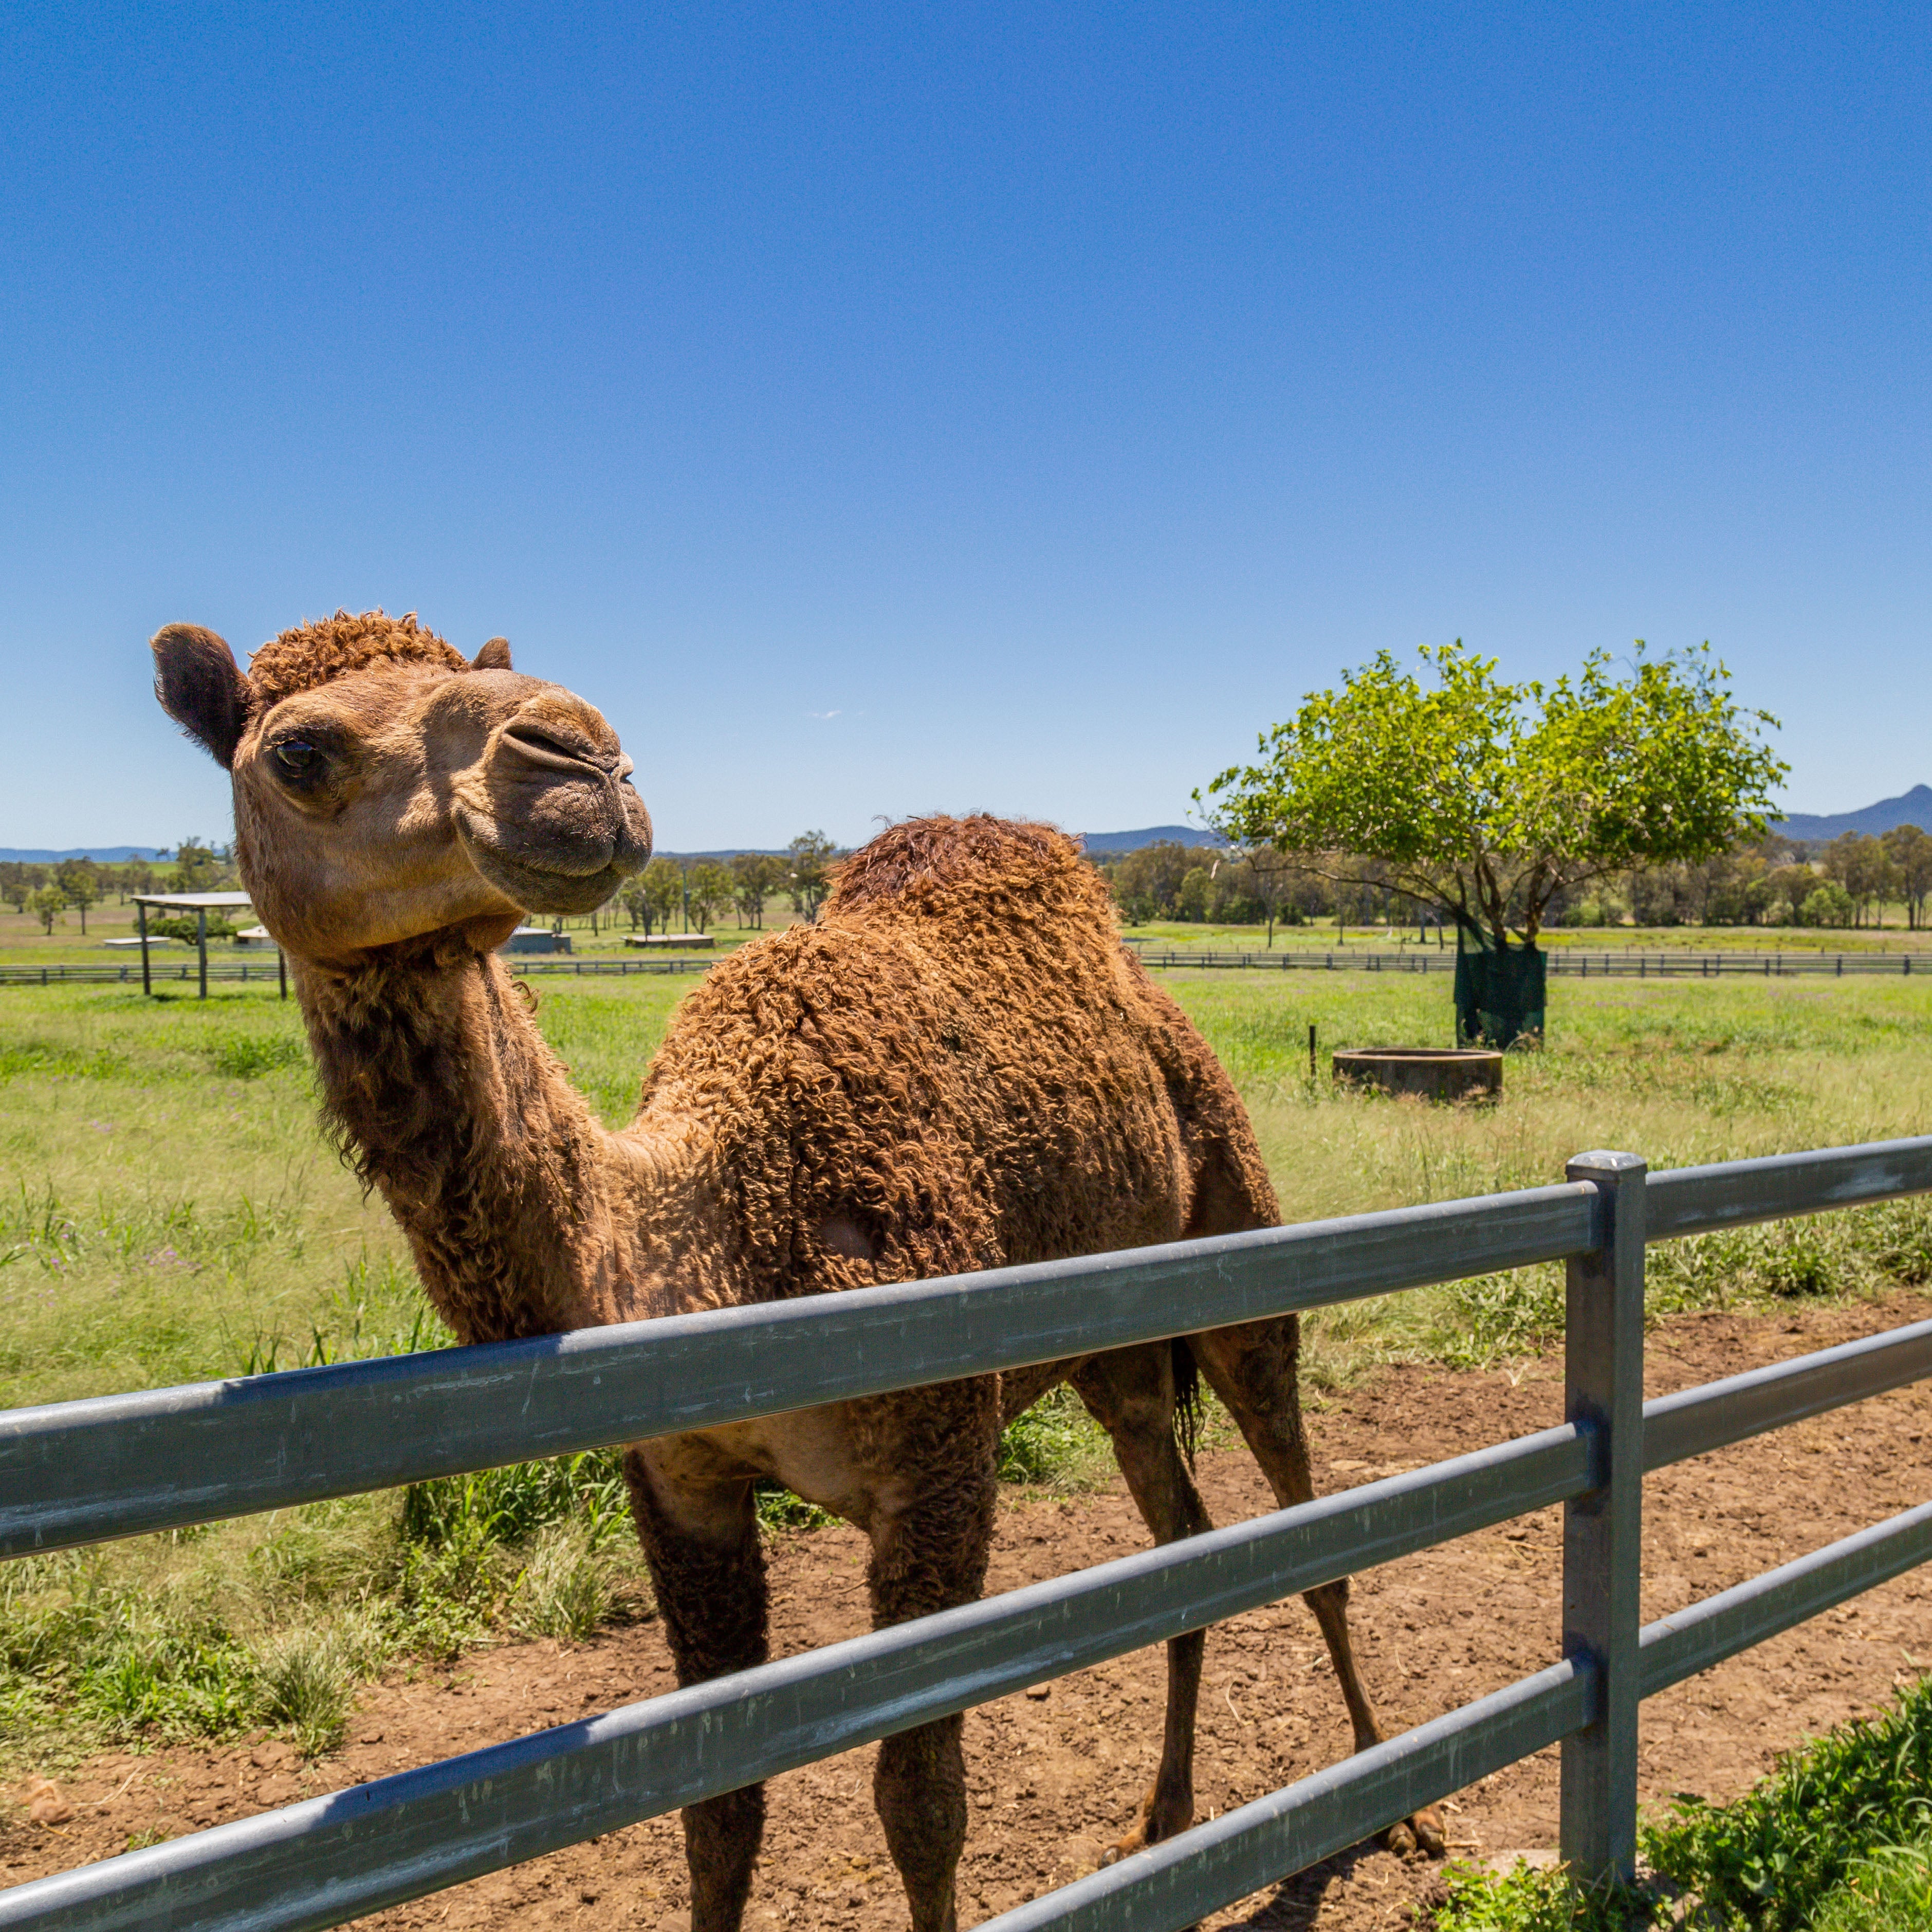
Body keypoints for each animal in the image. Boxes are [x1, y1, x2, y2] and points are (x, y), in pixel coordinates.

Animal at [151, 610, 1442, 1932]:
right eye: (299, 751)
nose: (579, 759)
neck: (711, 1241)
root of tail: (1158, 1008)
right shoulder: (683, 1489)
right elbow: (718, 1809)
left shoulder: (938, 1466)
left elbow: (920, 1805)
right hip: (1112, 1350)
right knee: (1186, 1534)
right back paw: (1166, 1817)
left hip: (1237, 1233)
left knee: (1308, 1518)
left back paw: (1389, 1797)